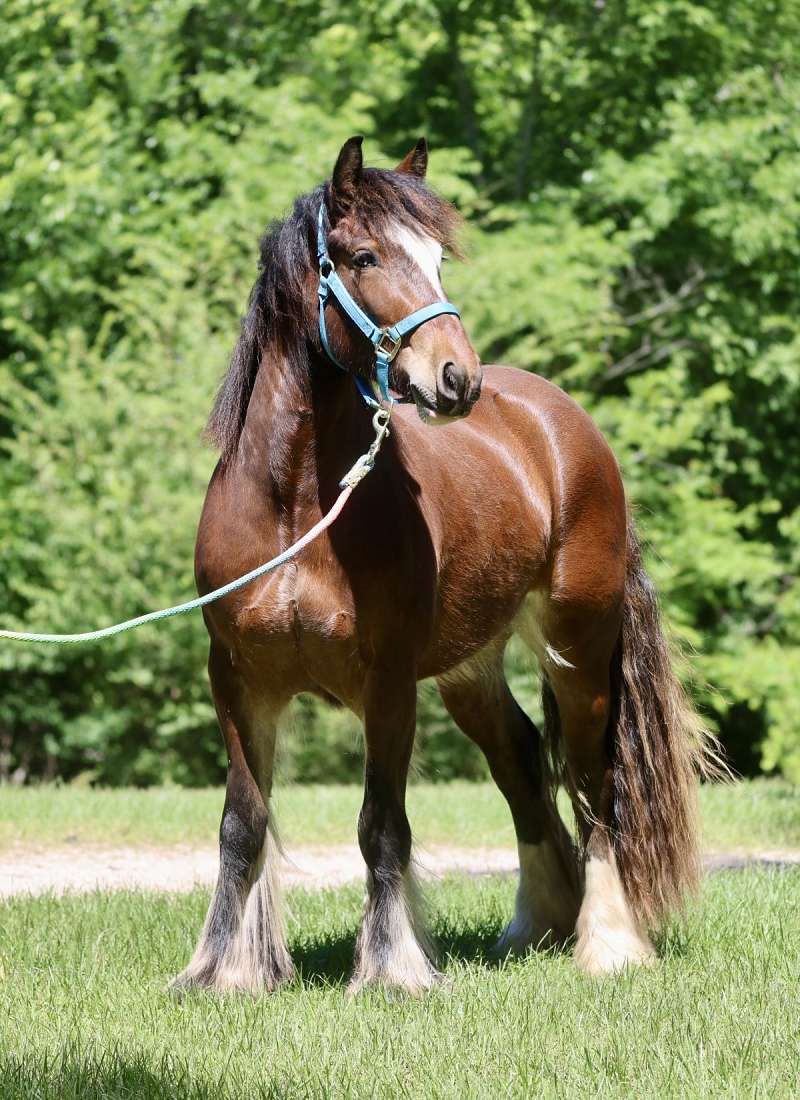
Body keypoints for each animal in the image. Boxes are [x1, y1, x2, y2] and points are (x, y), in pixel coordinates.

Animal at [173, 136, 717, 995]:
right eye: (363, 257)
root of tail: (566, 426)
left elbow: (381, 825)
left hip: (580, 650)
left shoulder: (389, 682)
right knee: (522, 759)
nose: (459, 378)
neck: (298, 506)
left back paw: (607, 943)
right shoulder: (236, 678)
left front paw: (393, 970)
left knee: (592, 781)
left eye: (436, 260)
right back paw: (539, 923)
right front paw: (227, 972)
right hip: (470, 669)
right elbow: (242, 823)